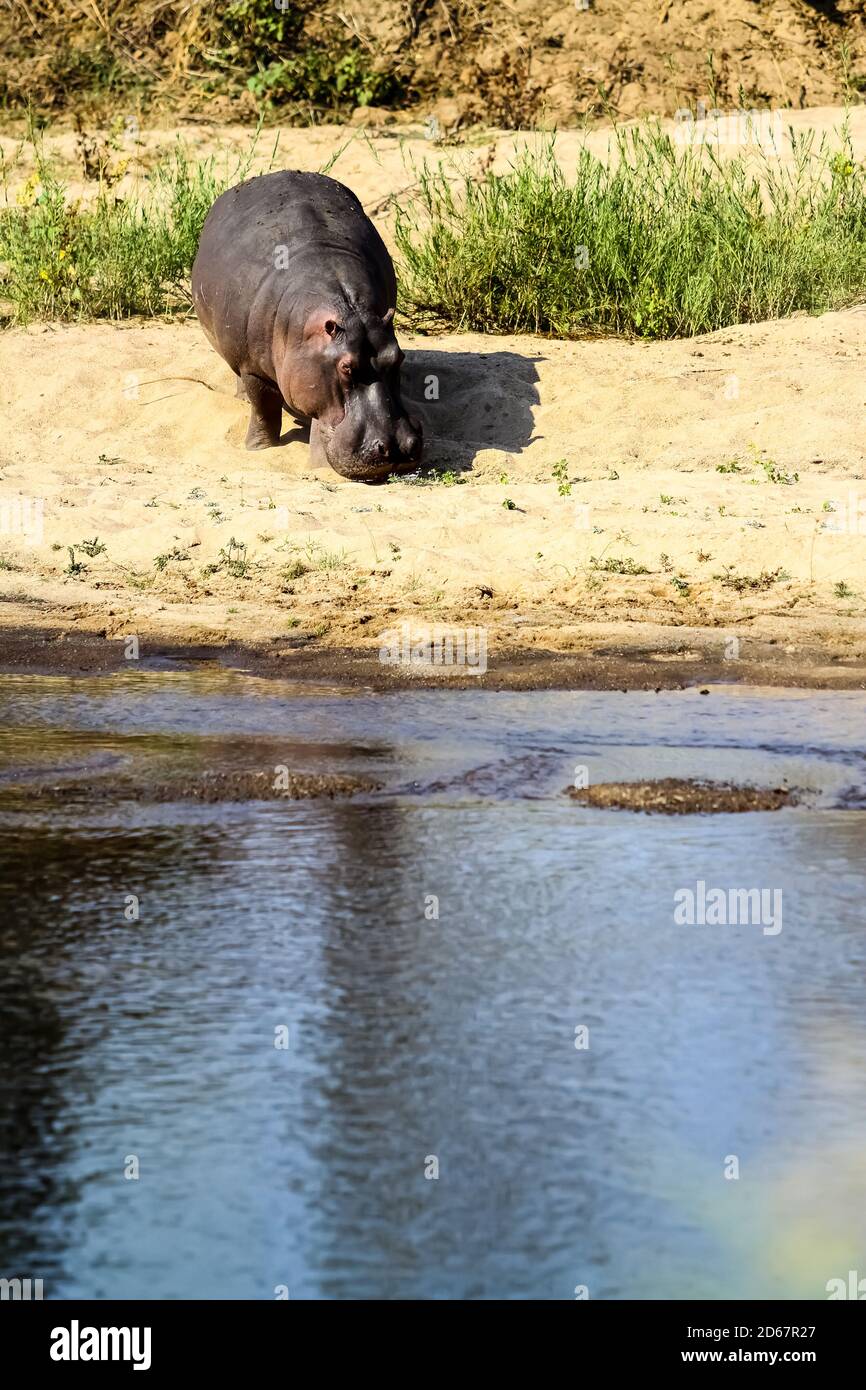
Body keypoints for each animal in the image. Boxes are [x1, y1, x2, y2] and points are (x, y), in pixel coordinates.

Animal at [191, 170, 423, 482]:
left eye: (398, 358)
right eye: (346, 368)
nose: (396, 448)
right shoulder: (253, 368)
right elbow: (265, 408)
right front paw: (258, 448)